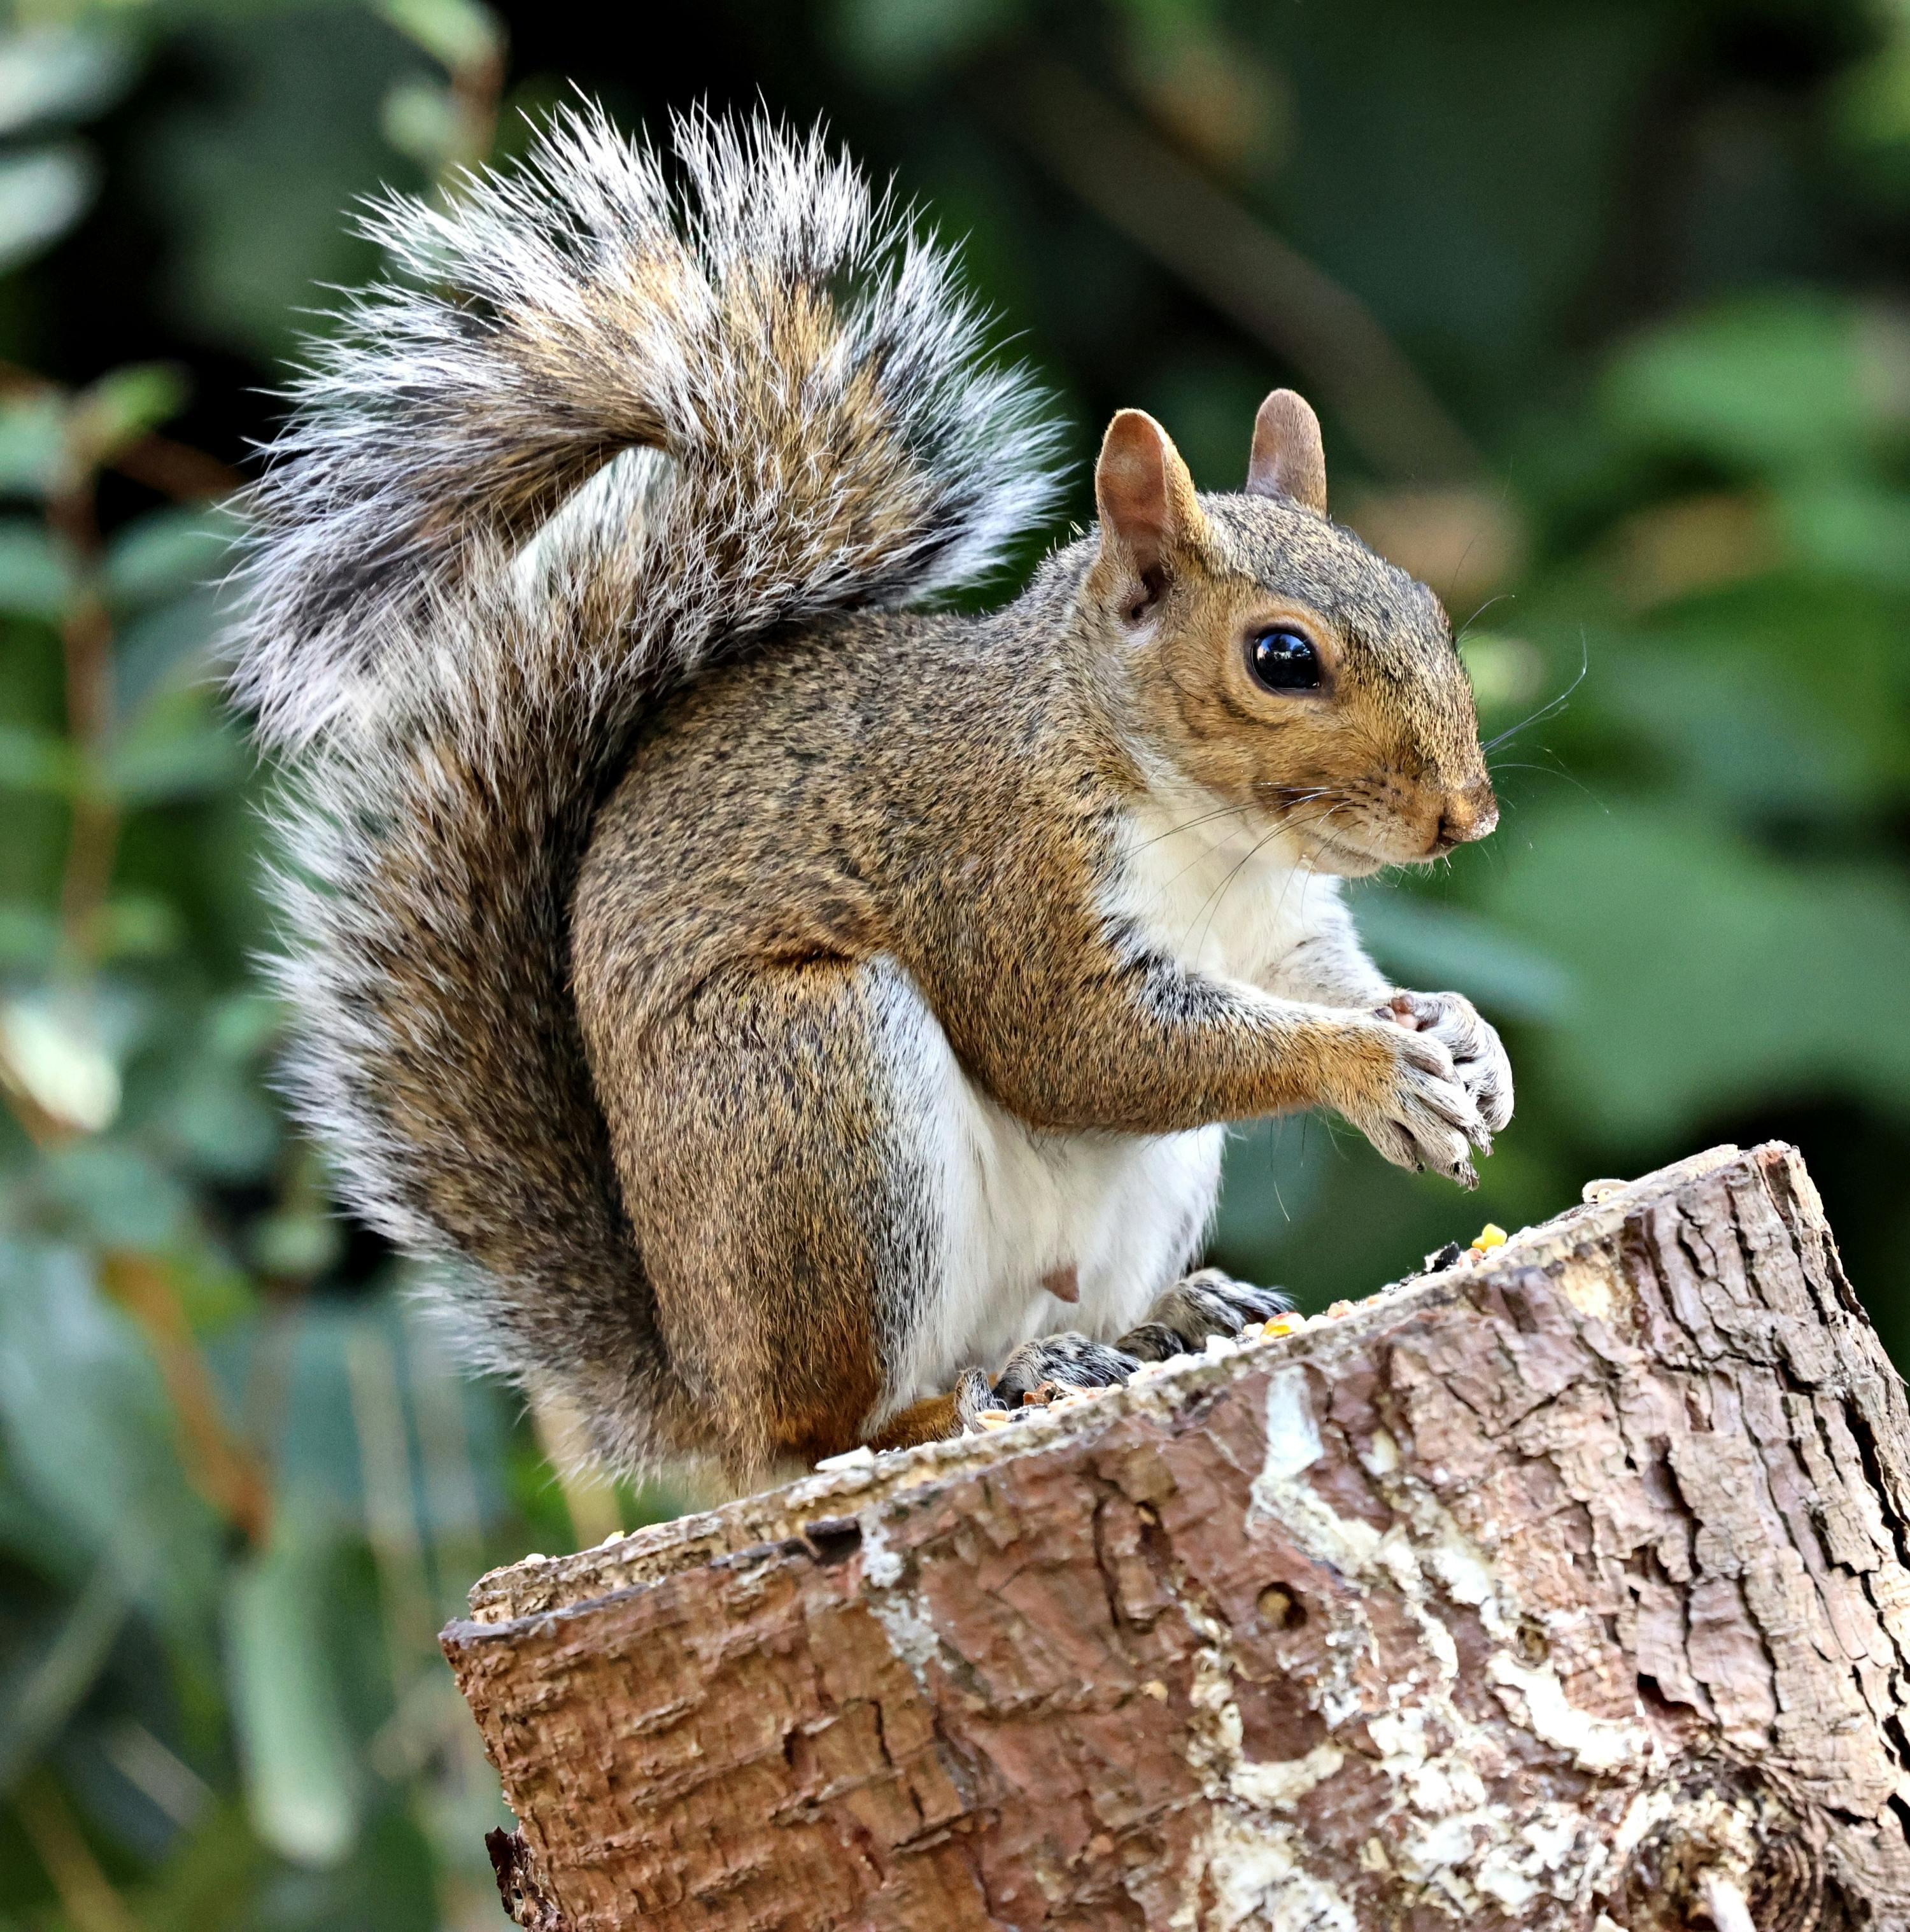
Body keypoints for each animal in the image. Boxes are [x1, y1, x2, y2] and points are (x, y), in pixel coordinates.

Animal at [231, 108, 1513, 1496]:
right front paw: (1378, 1068)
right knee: (832, 1428)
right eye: (1282, 657)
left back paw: (1159, 1322)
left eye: (1427, 606)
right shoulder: (999, 873)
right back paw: (949, 1407)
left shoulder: (1282, 927)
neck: (1211, 838)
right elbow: (1087, 1050)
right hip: (816, 1098)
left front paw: (1460, 1037)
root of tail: (706, 1394)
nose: (1468, 815)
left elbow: (1333, 982)